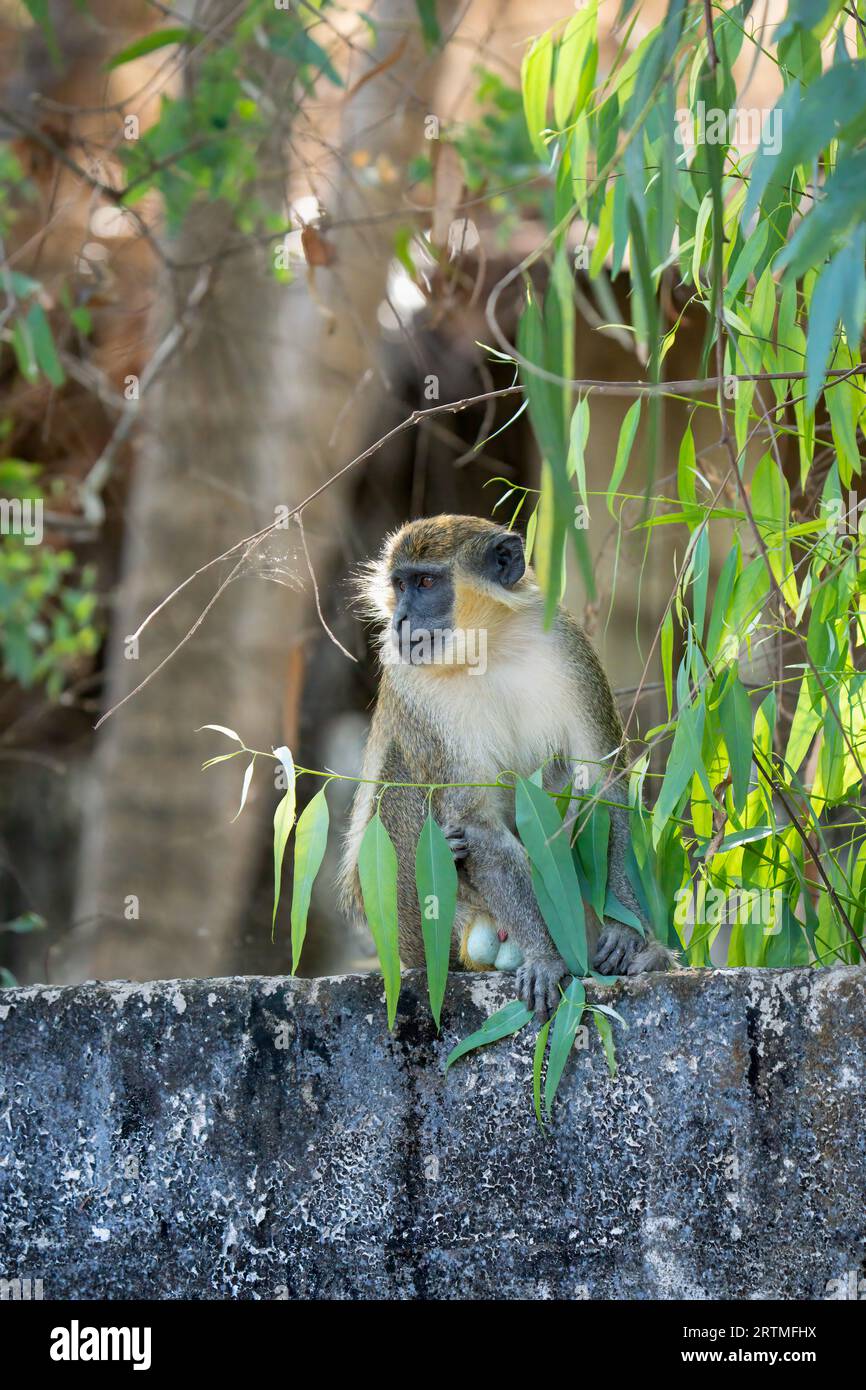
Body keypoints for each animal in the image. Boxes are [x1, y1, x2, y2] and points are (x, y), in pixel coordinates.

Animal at [339, 514, 673, 1019]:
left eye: (425, 582)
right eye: (399, 585)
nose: (400, 620)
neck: (488, 646)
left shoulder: (567, 645)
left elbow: (602, 787)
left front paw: (627, 931)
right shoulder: (411, 681)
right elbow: (477, 823)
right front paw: (547, 957)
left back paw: (651, 955)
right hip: (415, 929)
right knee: (401, 776)